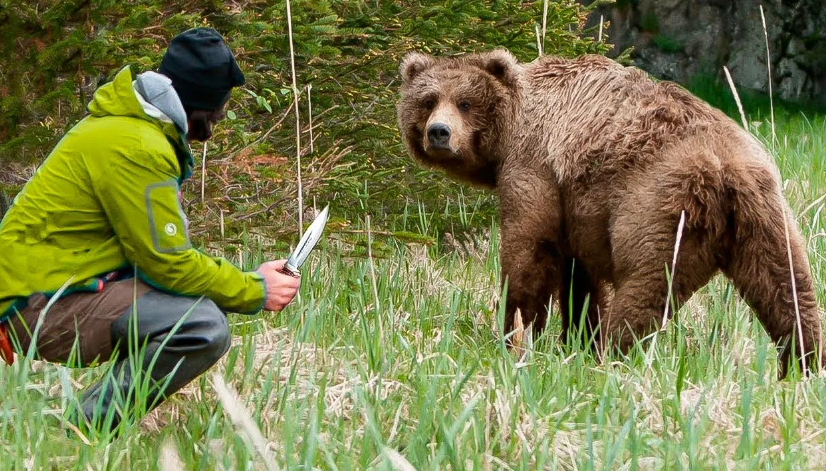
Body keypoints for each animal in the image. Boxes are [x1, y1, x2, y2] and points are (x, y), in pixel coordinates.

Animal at [396, 48, 820, 380]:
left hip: (658, 206)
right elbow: (580, 279)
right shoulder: (578, 207)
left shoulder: (534, 167)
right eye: (429, 100)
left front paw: (516, 334)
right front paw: (577, 337)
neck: (512, 128)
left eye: (465, 102)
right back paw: (805, 364)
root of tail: (725, 168)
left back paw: (613, 358)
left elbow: (529, 251)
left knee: (645, 287)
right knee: (787, 287)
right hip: (765, 214)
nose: (438, 133)